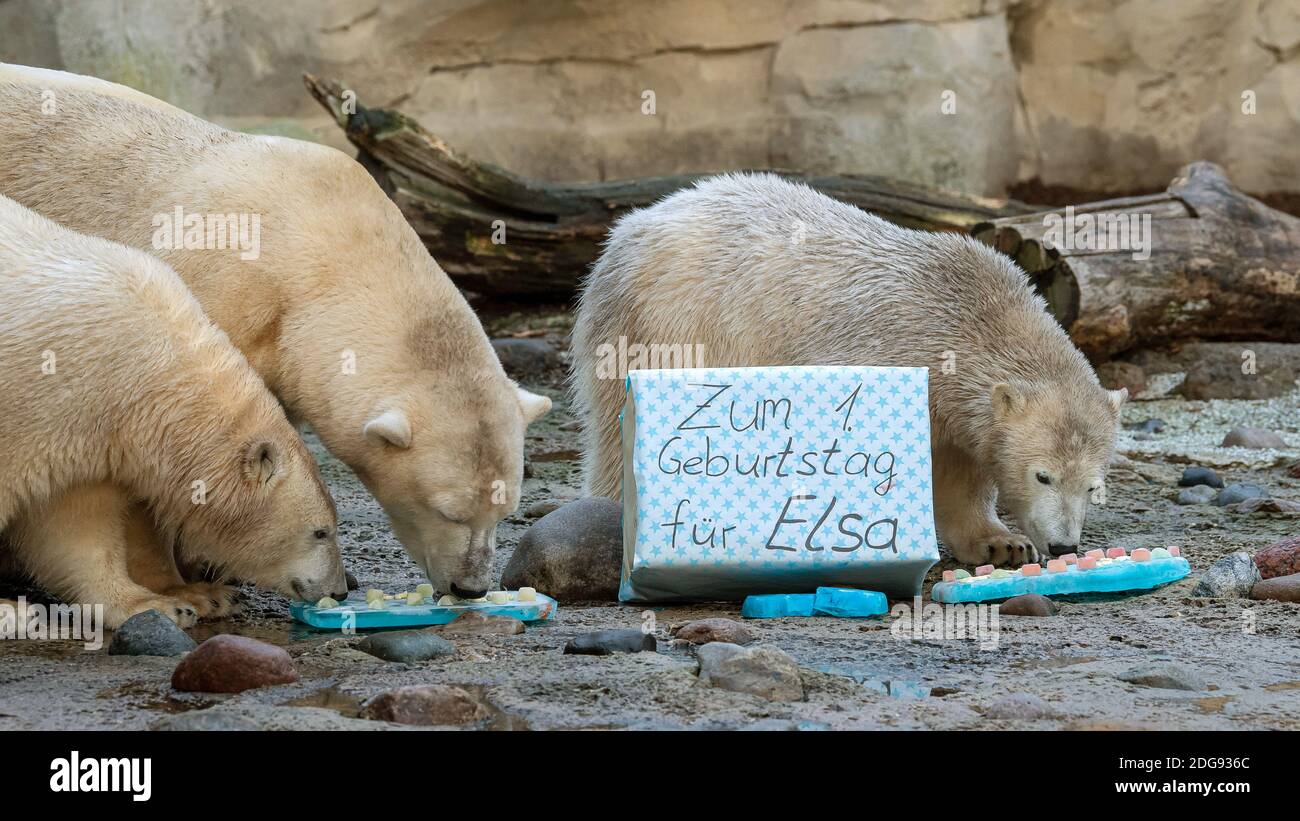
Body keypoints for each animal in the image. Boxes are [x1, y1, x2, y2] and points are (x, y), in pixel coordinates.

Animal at [0, 193, 347, 627]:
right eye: (320, 531)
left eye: (331, 526)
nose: (340, 590)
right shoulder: (33, 400)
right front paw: (11, 612)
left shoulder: (86, 429)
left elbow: (73, 524)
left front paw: (168, 603)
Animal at [571, 173, 1126, 567]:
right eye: (1043, 476)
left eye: (1093, 486)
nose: (1063, 547)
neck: (971, 316)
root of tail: (633, 224)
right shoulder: (889, 351)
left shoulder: (957, 408)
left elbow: (960, 472)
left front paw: (1001, 544)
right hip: (668, 321)